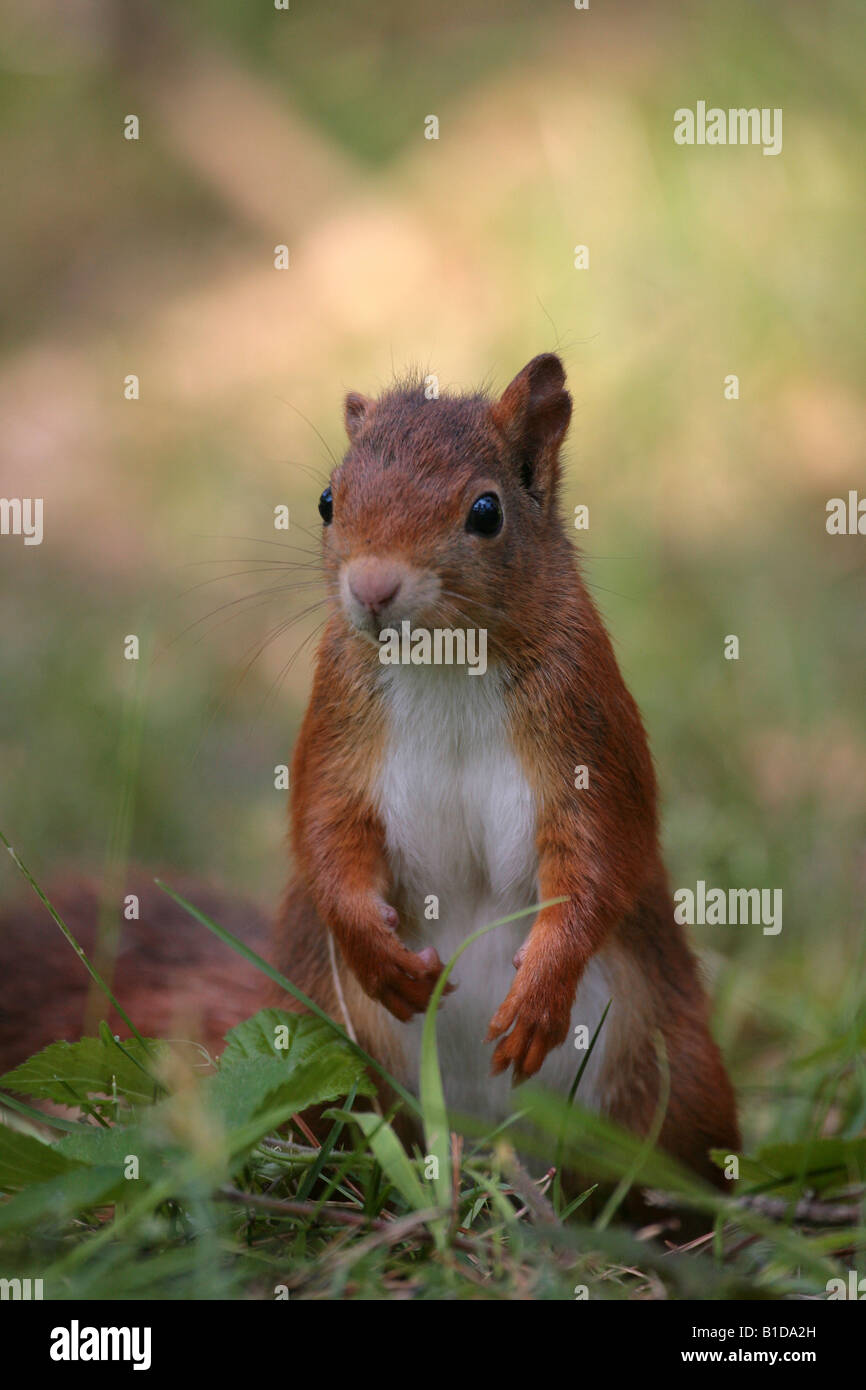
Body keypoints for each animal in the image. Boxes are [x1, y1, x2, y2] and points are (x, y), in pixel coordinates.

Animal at [0, 354, 738, 1193]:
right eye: (327, 501)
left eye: (487, 511)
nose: (373, 587)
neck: (446, 663)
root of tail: (492, 1147)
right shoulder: (337, 728)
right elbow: (325, 830)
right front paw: (377, 955)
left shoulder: (587, 728)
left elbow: (602, 855)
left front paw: (540, 995)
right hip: (320, 1055)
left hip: (676, 1081)